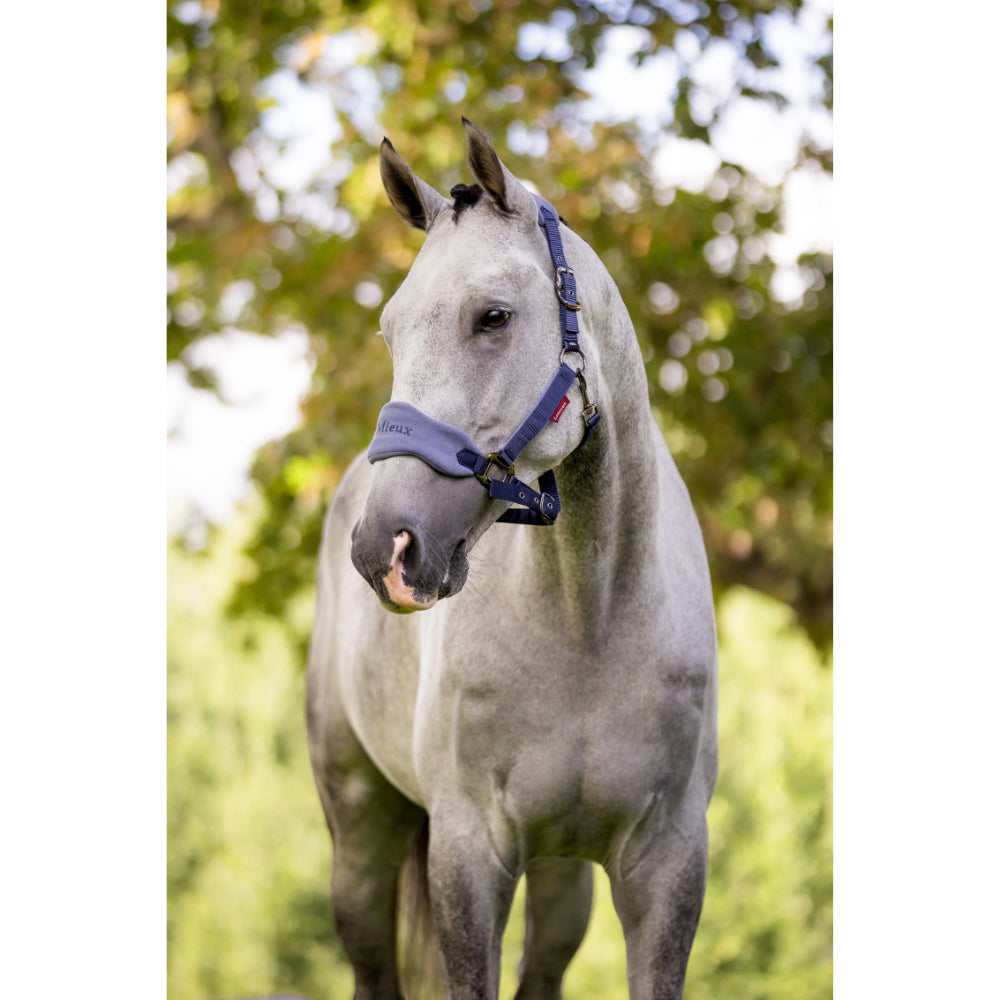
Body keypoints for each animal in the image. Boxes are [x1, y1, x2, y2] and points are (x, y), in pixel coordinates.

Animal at [306, 118, 718, 1000]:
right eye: (390, 330)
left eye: (491, 317)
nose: (384, 547)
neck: (591, 621)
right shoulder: (469, 858)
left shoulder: (668, 866)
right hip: (360, 841)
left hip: (562, 879)